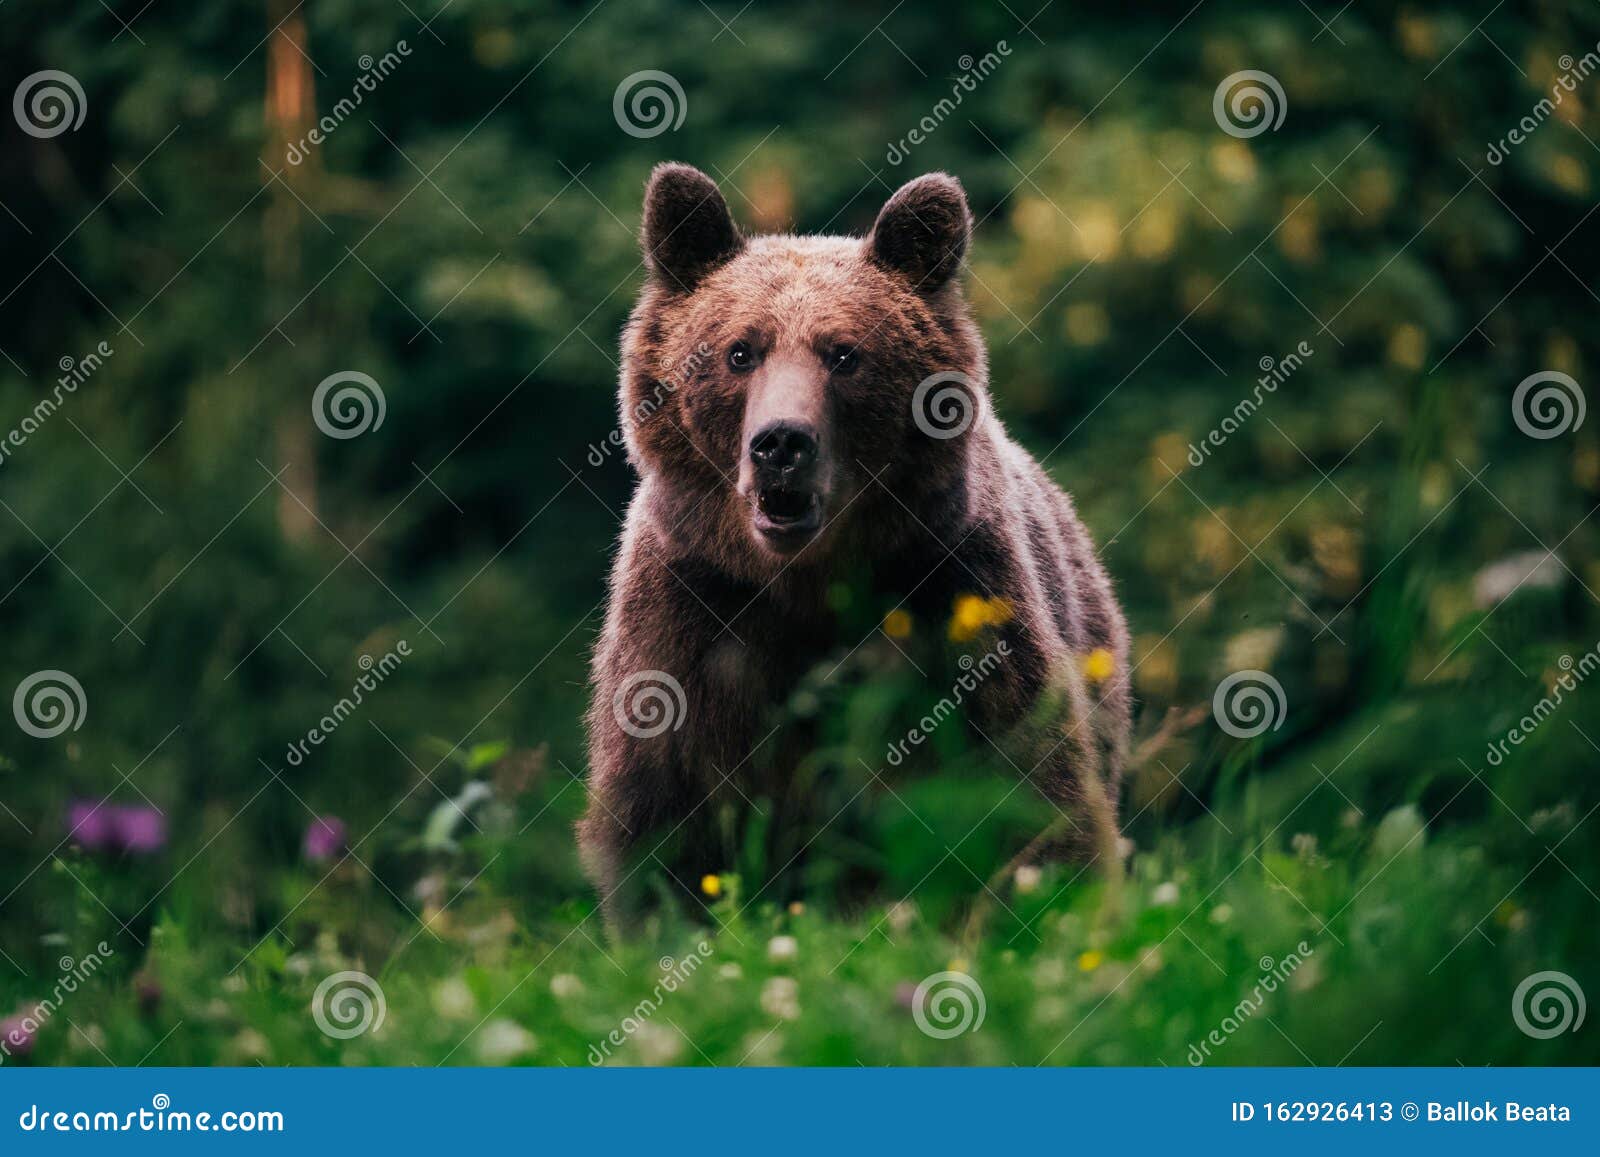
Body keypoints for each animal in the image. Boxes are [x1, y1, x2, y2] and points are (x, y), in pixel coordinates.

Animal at [578, 163, 1131, 931]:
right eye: (739, 351)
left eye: (844, 354)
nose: (781, 443)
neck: (807, 581)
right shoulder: (693, 616)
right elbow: (667, 810)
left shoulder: (952, 590)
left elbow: (1027, 784)